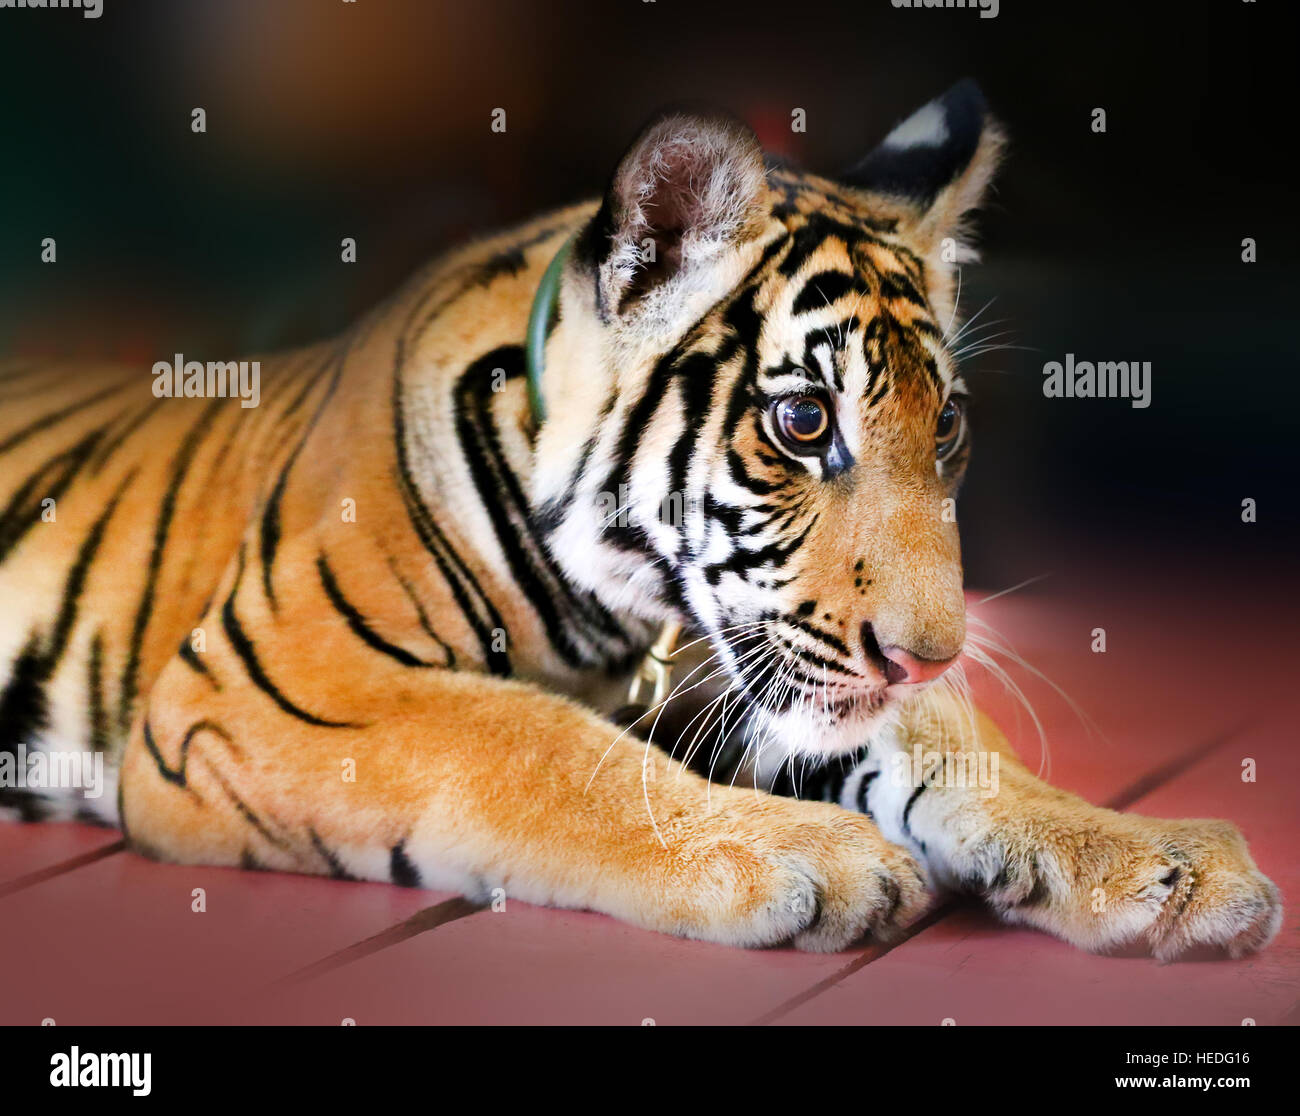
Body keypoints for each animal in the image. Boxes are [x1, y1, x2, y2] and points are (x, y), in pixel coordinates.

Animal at [0, 80, 1280, 958]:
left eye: (948, 427)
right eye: (804, 421)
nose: (930, 654)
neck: (632, 607)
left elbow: (947, 747)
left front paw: (1155, 856)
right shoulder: (275, 682)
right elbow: (540, 745)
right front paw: (811, 859)